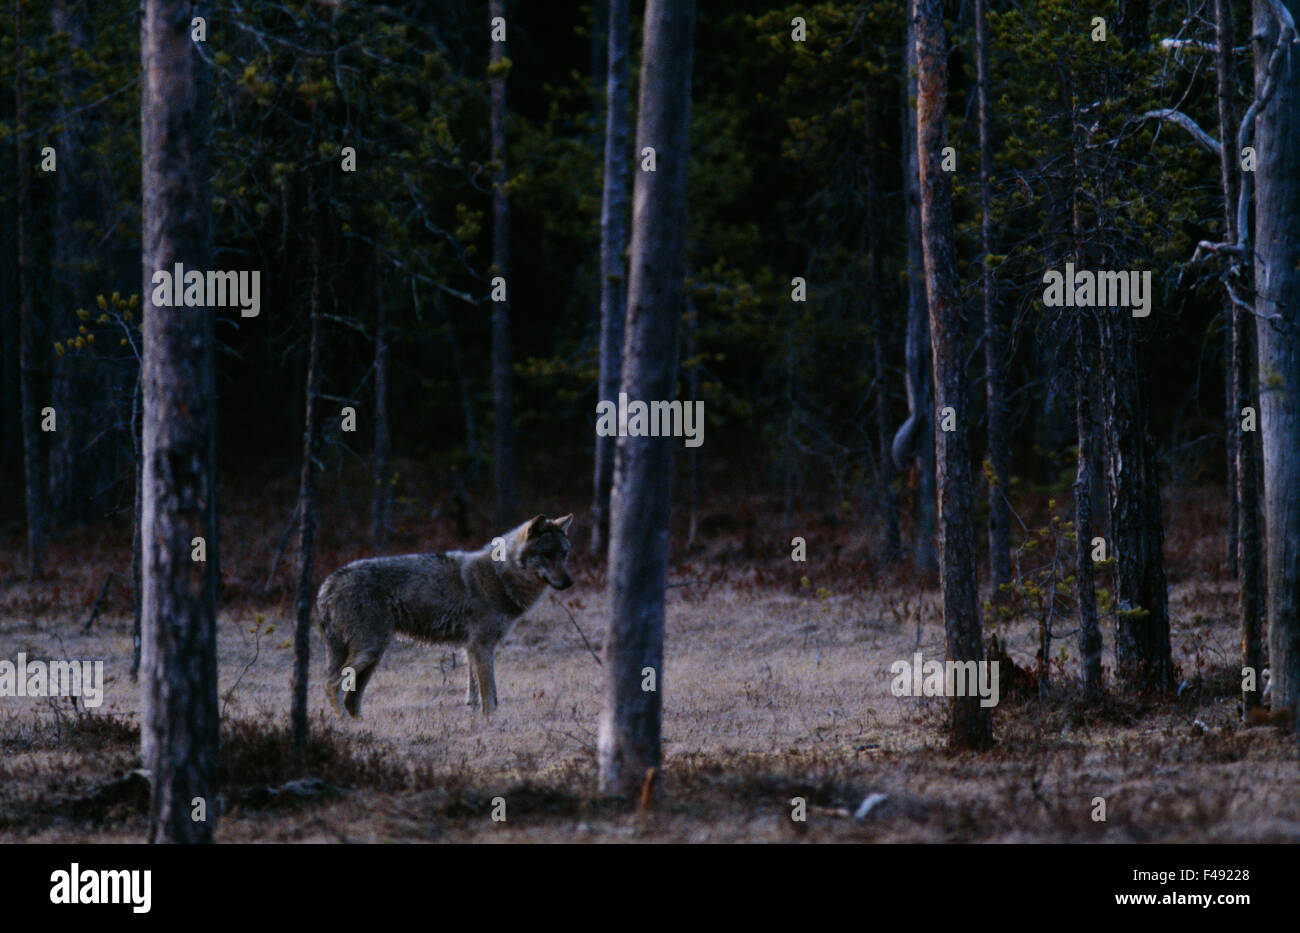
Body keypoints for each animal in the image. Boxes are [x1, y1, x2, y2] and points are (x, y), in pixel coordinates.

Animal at [317, 514, 574, 718]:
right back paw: (347, 725)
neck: (501, 577)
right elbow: (489, 696)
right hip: (370, 650)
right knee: (331, 685)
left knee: (352, 700)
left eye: (564, 554)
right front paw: (492, 722)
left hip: (373, 656)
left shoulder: (471, 648)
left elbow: (475, 694)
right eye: (547, 554)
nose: (569, 582)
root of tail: (330, 581)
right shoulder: (482, 645)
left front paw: (476, 718)